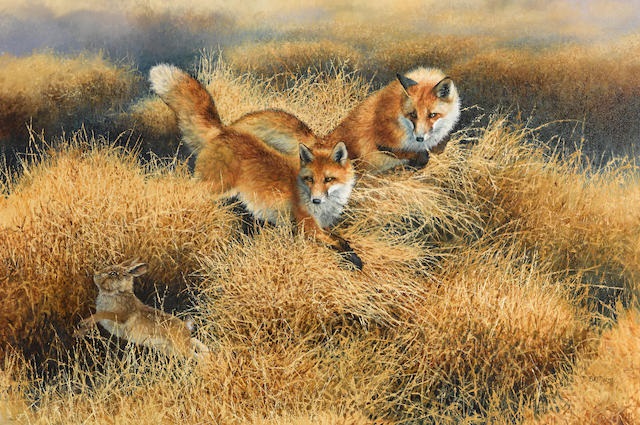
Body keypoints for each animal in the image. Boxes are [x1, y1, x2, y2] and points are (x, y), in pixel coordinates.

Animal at [75, 260, 210, 360]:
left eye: (113, 273)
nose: (95, 275)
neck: (117, 293)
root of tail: (187, 330)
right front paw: (79, 332)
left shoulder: (122, 316)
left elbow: (103, 314)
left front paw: (84, 323)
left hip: (180, 347)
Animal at [149, 64, 362, 269]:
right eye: (310, 179)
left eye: (328, 179)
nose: (316, 200)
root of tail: (224, 131)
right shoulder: (307, 226)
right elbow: (338, 245)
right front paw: (353, 260)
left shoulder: (320, 226)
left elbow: (340, 239)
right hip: (214, 188)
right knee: (186, 191)